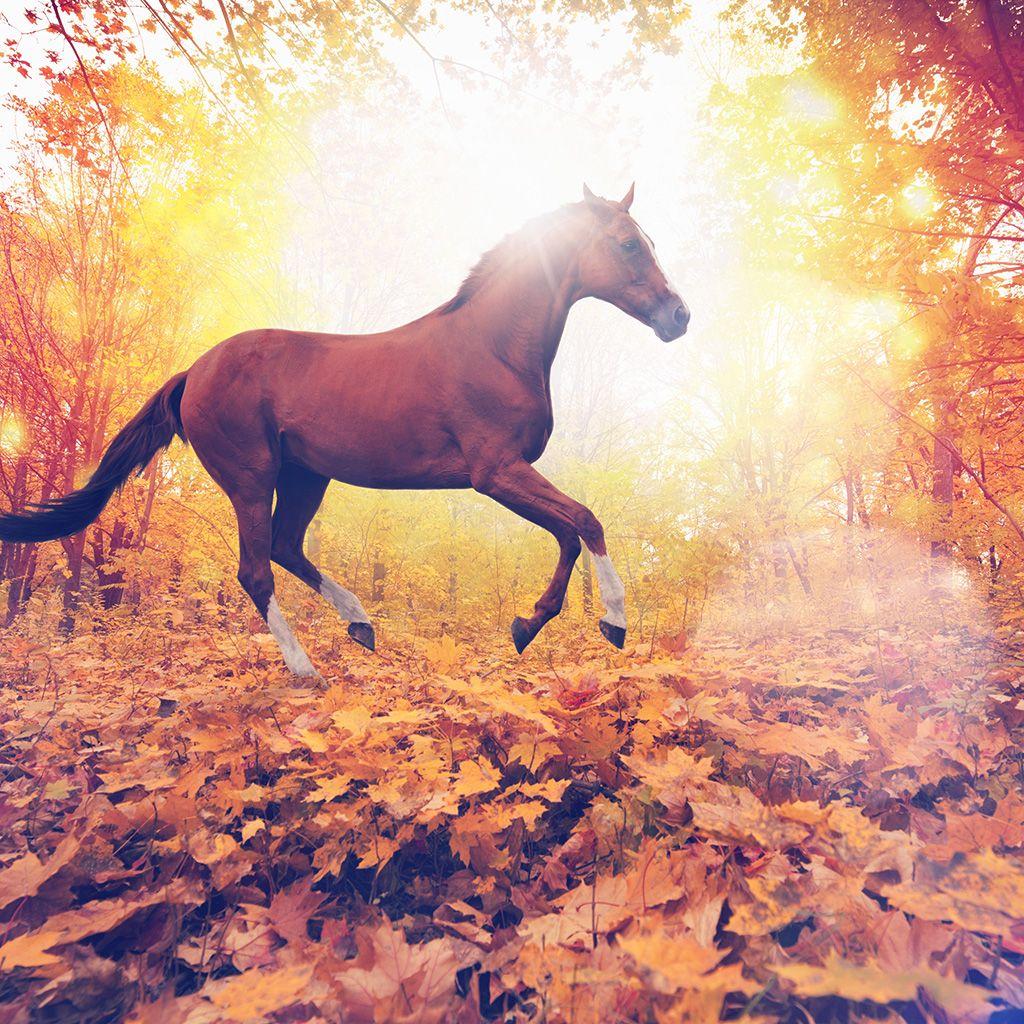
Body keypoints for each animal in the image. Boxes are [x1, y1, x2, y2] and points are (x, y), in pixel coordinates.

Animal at [0, 184, 689, 676]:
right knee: (257, 570)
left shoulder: (506, 475)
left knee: (286, 548)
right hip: (252, 479)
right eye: (628, 243)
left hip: (307, 477)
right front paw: (615, 622)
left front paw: (528, 625)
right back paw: (307, 670)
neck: (492, 346)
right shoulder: (495, 472)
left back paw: (361, 625)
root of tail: (193, 371)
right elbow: (586, 521)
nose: (678, 316)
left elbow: (568, 532)